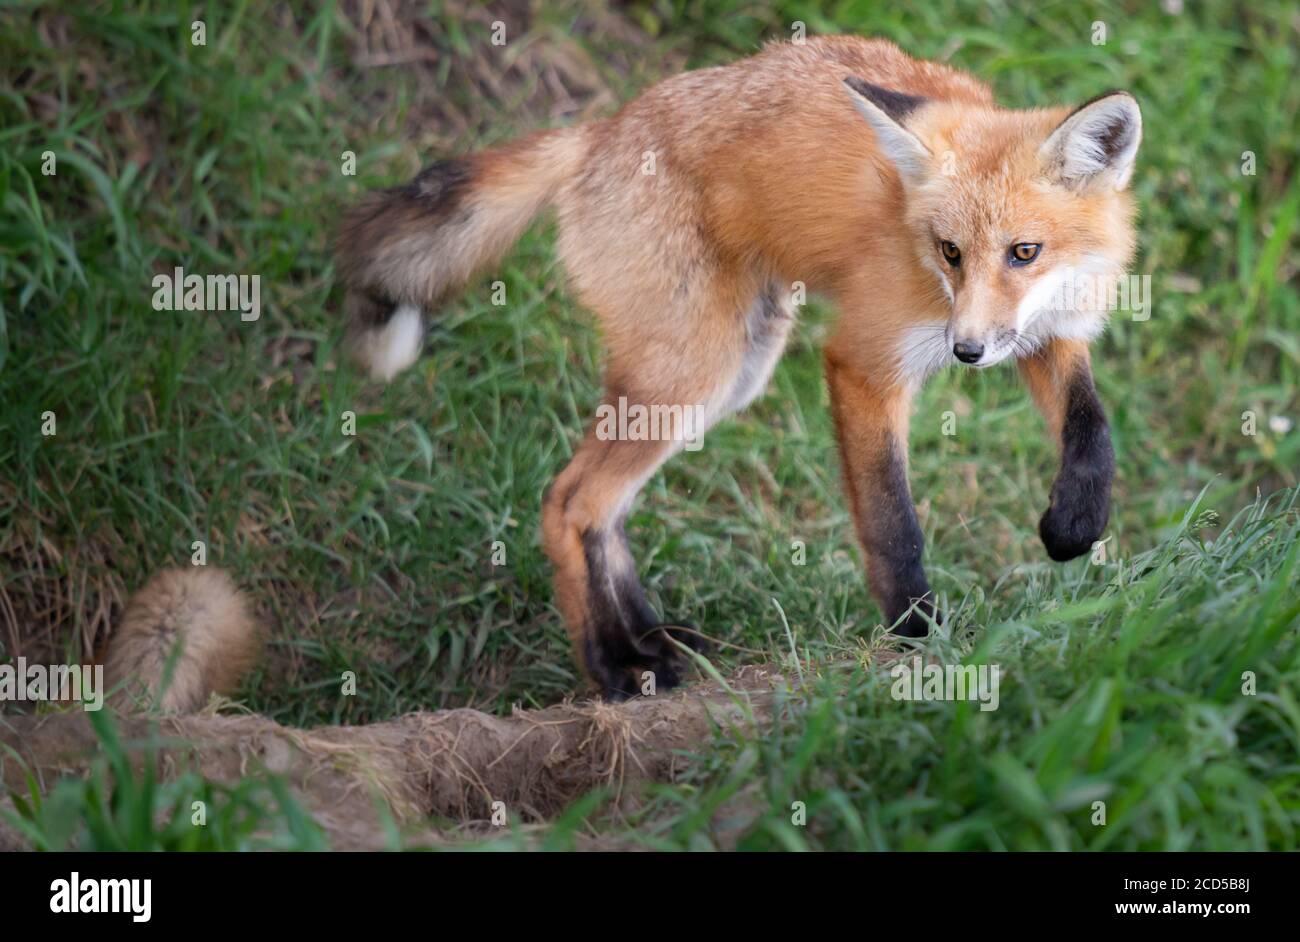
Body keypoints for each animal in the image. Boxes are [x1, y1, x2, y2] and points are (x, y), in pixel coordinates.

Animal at [335, 35, 1140, 701]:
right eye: (949, 251)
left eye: (1024, 252)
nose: (967, 354)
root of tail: (600, 131)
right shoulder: (866, 362)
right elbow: (893, 525)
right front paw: (921, 639)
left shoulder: (1042, 334)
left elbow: (1093, 427)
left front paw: (1073, 524)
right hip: (696, 367)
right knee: (568, 501)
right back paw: (611, 666)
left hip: (728, 375)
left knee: (604, 509)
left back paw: (648, 639)